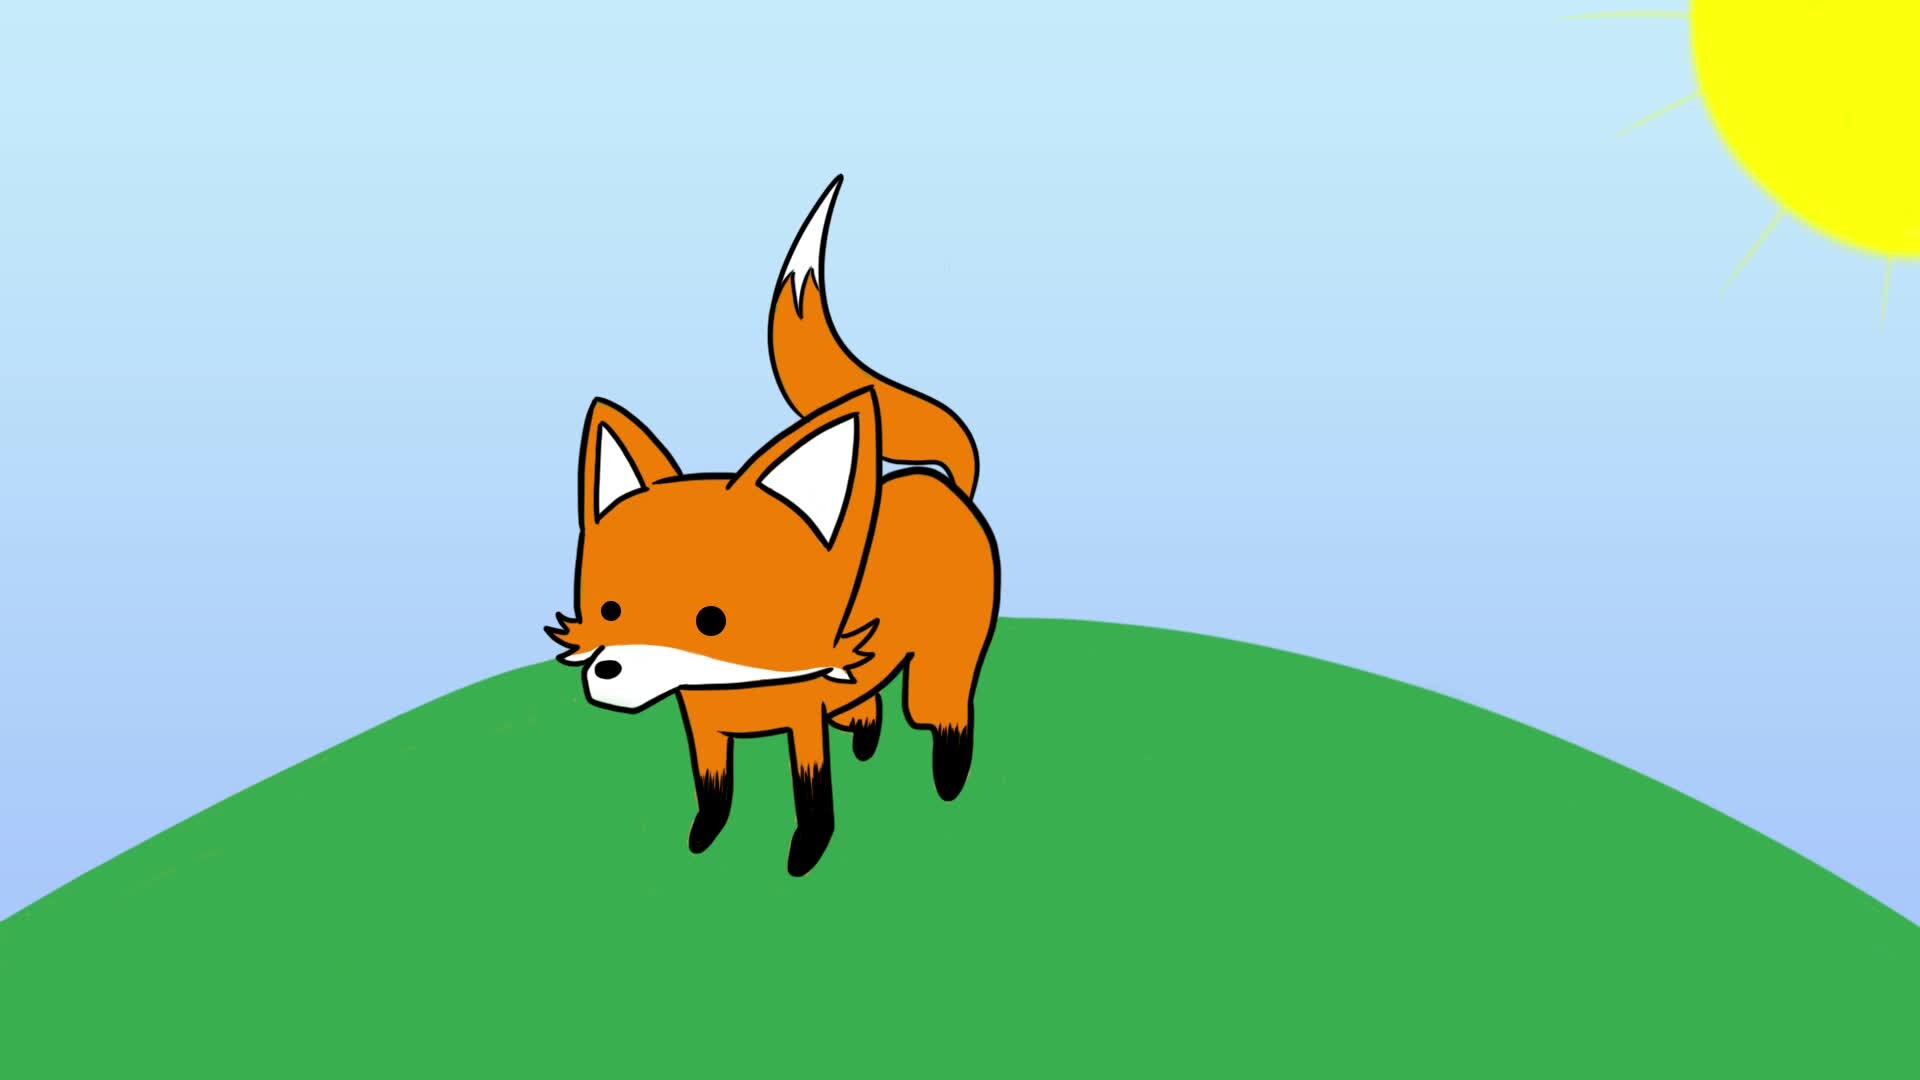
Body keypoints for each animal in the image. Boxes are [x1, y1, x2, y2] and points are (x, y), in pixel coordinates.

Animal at [545, 177, 1000, 877]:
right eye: (610, 610)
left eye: (712, 620)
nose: (607, 674)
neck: (734, 689)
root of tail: (938, 481)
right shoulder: (703, 728)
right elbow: (715, 793)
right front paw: (703, 843)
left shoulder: (804, 726)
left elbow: (811, 801)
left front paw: (805, 856)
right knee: (866, 708)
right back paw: (868, 746)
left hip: (941, 670)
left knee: (942, 719)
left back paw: (947, 787)